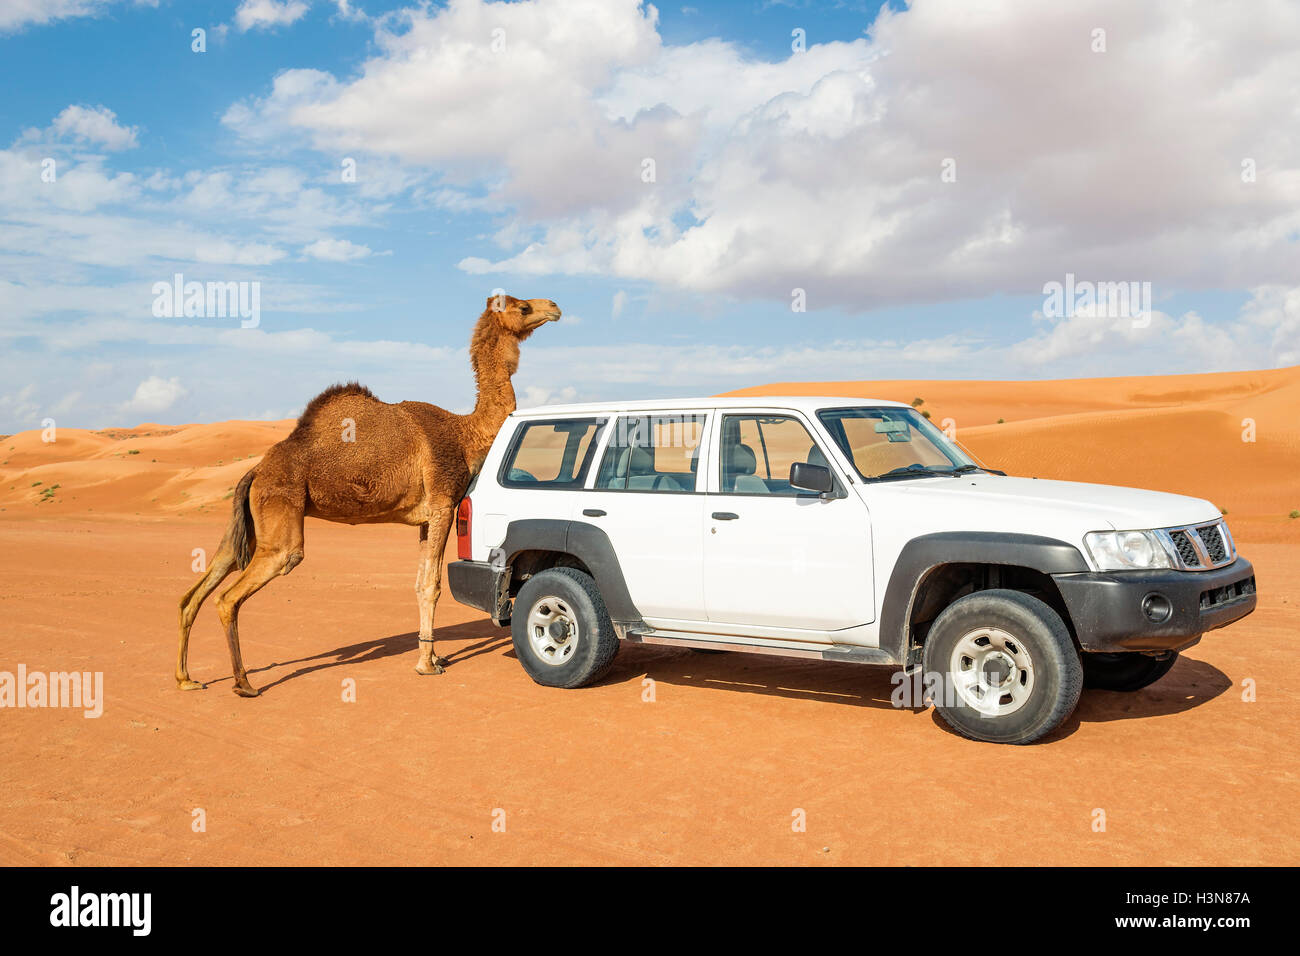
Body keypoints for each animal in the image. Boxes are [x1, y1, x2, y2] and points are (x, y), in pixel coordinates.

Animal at [175, 294, 561, 697]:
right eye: (523, 307)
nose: (554, 306)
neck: (464, 433)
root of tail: (255, 472)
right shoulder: (443, 504)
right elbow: (432, 586)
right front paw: (427, 665)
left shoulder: (424, 519)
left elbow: (419, 583)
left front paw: (432, 655)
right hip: (280, 519)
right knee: (230, 596)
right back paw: (243, 683)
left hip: (248, 523)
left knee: (200, 587)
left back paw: (186, 678)